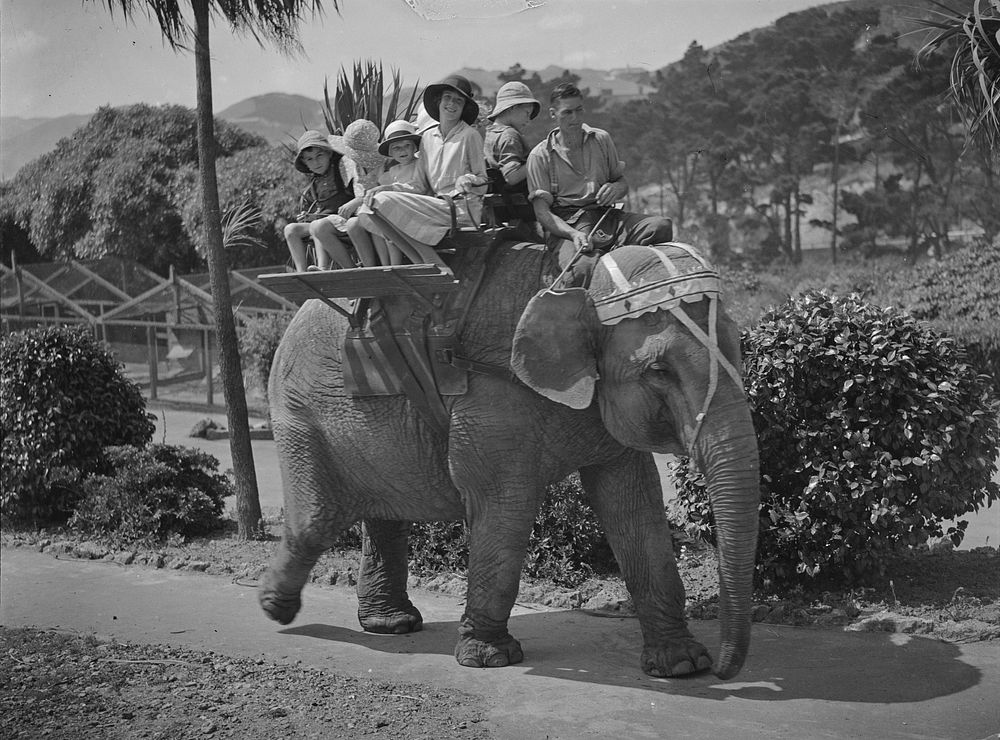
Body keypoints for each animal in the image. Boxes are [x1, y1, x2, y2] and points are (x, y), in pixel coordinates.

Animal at [258, 235, 760, 680]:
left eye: (737, 345)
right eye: (659, 370)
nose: (724, 670)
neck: (580, 279)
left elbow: (633, 505)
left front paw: (682, 666)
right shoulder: (490, 391)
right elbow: (506, 504)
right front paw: (490, 659)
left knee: (385, 515)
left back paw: (391, 624)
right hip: (301, 413)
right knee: (317, 520)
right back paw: (275, 608)